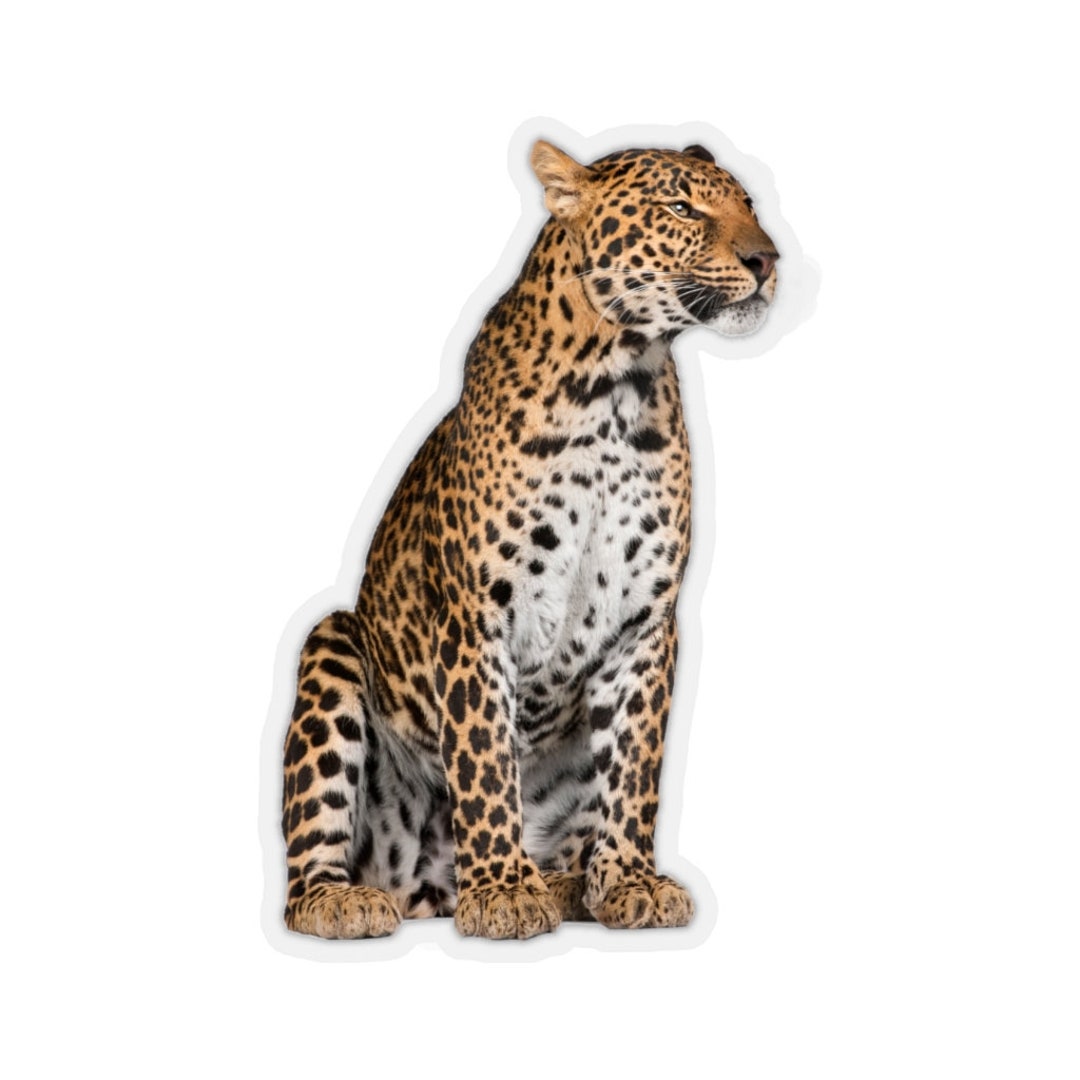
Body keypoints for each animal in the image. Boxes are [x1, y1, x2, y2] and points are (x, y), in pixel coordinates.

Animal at [281, 139, 778, 940]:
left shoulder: (646, 622)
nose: (768, 258)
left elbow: (634, 767)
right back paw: (351, 901)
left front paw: (631, 880)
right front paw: (504, 892)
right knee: (306, 873)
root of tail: (424, 887)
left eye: (749, 206)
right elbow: (484, 755)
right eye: (681, 207)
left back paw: (572, 884)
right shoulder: (476, 616)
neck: (616, 387)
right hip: (331, 648)